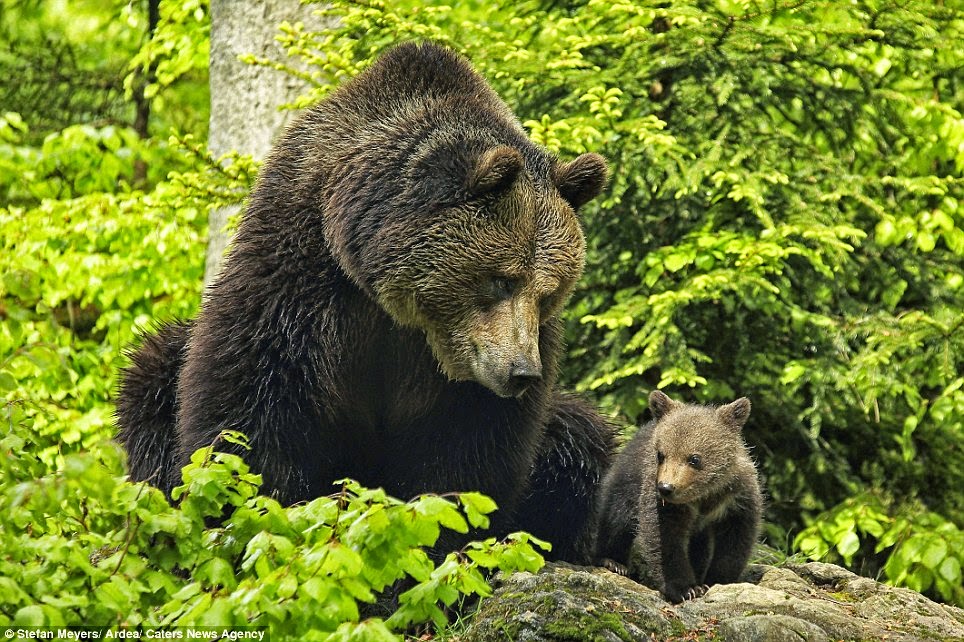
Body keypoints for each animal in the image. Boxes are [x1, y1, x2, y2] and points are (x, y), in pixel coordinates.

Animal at [115, 41, 614, 562]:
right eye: (501, 280)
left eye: (549, 291)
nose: (521, 372)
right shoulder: (305, 277)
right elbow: (253, 397)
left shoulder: (468, 376)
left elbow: (469, 449)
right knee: (152, 377)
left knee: (580, 440)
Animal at [594, 390, 762, 602]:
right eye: (661, 455)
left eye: (694, 458)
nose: (666, 487)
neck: (704, 496)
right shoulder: (665, 503)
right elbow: (666, 538)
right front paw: (685, 588)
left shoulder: (736, 499)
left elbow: (735, 541)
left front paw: (716, 580)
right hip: (627, 479)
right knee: (616, 517)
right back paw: (613, 561)